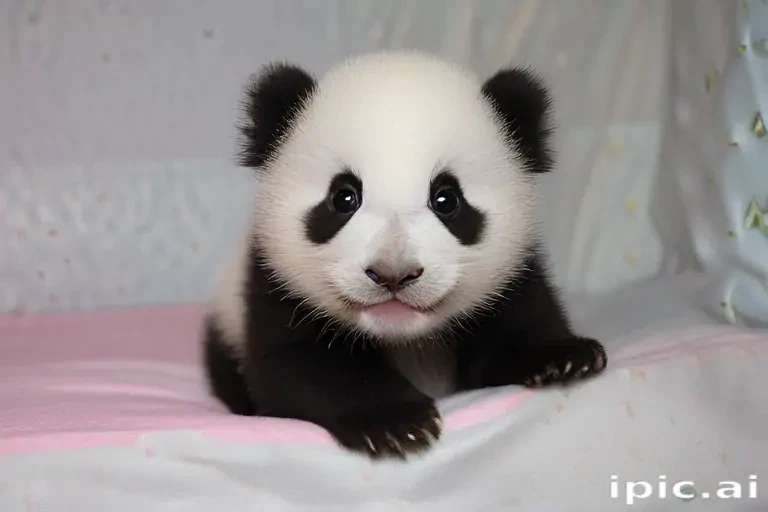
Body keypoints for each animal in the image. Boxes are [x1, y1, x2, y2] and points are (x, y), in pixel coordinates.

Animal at [203, 50, 606, 459]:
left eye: (447, 199)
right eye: (343, 197)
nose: (393, 274)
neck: (404, 338)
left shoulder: (512, 276)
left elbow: (516, 329)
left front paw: (565, 357)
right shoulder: (275, 286)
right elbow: (297, 365)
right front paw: (396, 422)